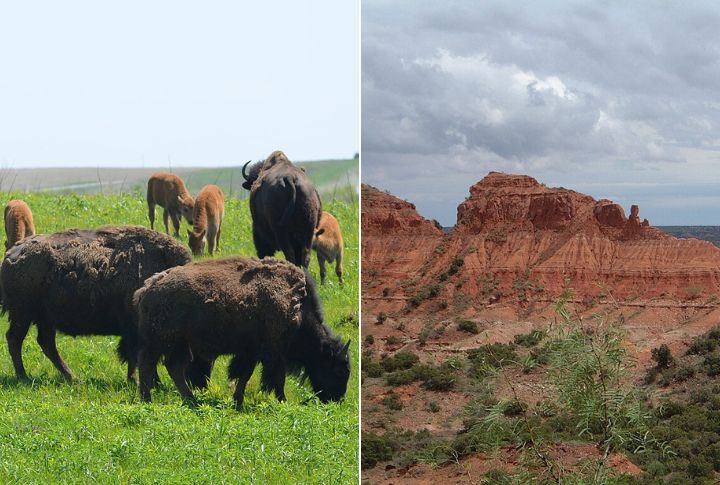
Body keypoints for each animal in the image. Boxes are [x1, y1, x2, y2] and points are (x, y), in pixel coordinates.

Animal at [134, 256, 351, 407]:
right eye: (340, 369)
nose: (337, 399)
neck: (298, 307)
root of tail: (148, 287)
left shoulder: (251, 352)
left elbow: (245, 375)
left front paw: (237, 401)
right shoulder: (273, 352)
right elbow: (276, 379)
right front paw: (283, 401)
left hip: (180, 343)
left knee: (174, 367)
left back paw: (191, 400)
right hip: (161, 341)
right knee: (147, 365)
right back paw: (148, 400)